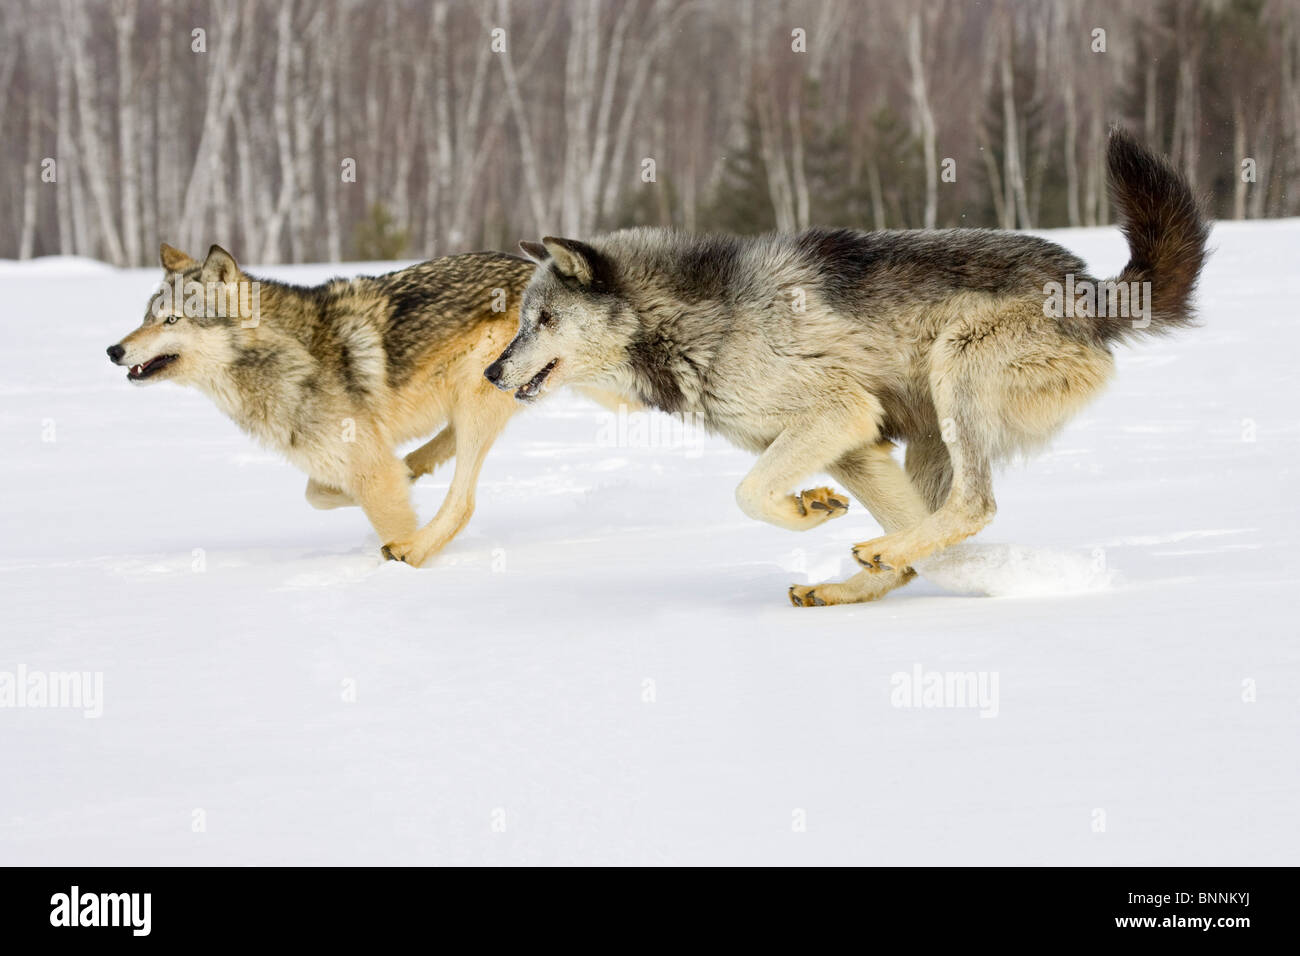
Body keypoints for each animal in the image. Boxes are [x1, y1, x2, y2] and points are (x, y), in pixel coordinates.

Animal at [107, 244, 620, 567]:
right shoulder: (346, 456)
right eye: (146, 317)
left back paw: (413, 550)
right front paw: (403, 476)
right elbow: (317, 492)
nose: (113, 350)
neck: (281, 355)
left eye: (172, 320)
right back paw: (416, 464)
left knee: (463, 501)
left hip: (478, 385)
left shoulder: (368, 467)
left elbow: (380, 507)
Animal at [485, 129, 1208, 606]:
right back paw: (855, 583)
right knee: (935, 529)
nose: (492, 373)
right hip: (928, 431)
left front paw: (807, 512)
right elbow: (775, 494)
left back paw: (887, 556)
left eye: (540, 321)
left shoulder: (839, 413)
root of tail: (1091, 289)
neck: (696, 320)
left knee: (976, 504)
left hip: (955, 372)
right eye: (520, 321)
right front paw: (816, 509)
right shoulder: (855, 444)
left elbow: (748, 493)